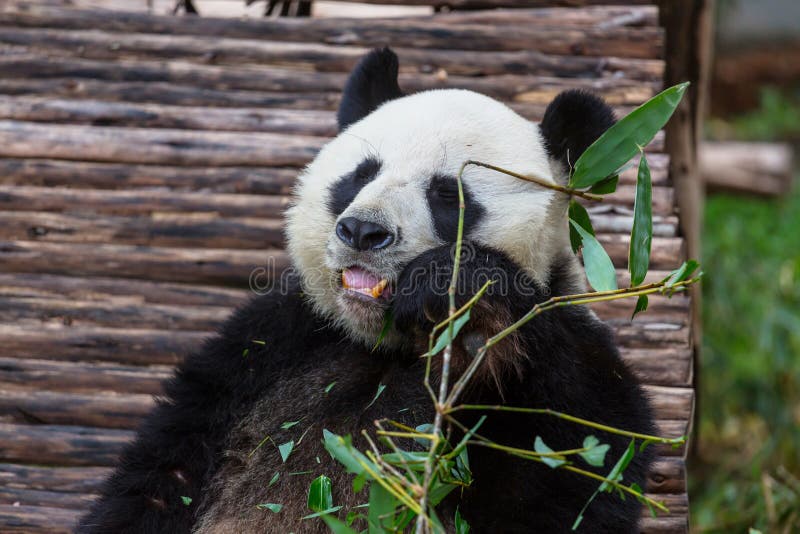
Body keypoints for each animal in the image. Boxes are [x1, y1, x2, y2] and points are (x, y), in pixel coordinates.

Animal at [78, 47, 654, 533]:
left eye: (448, 193)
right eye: (359, 175)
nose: (362, 231)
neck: (387, 343)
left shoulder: (559, 353)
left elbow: (581, 464)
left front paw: (455, 288)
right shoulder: (274, 343)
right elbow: (167, 472)